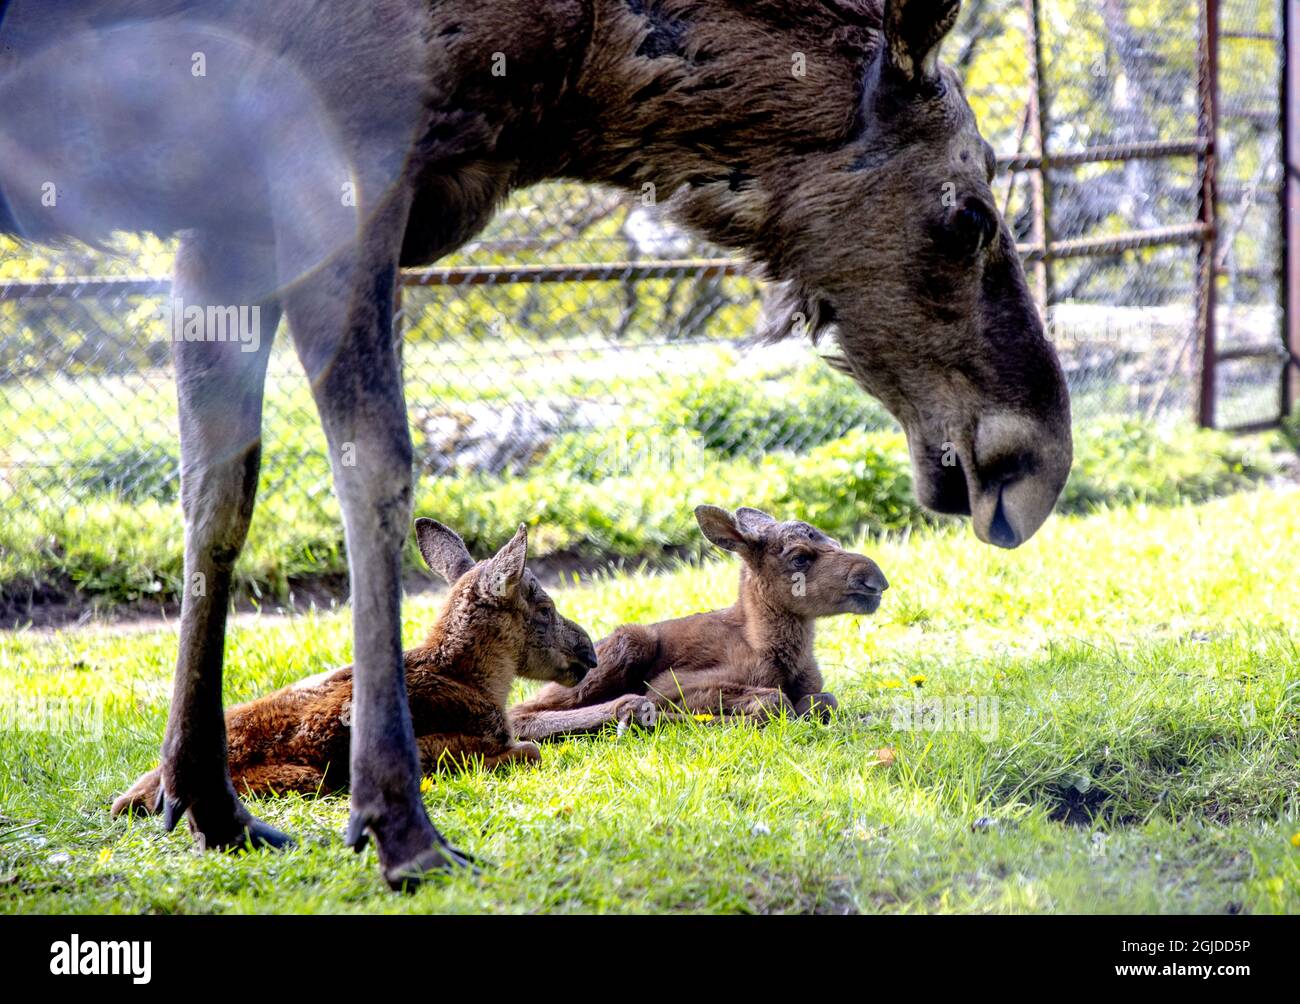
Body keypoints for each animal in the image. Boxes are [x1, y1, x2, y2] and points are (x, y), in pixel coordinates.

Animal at [111, 519, 599, 828]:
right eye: (544, 609)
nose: (589, 651)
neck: (478, 681)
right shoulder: (447, 749)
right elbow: (531, 749)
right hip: (308, 778)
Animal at [510, 506, 888, 740]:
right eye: (799, 558)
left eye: (836, 542)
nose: (876, 580)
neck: (776, 653)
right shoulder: (674, 683)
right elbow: (773, 701)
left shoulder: (814, 688)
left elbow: (825, 700)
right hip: (626, 643)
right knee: (521, 713)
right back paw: (636, 715)